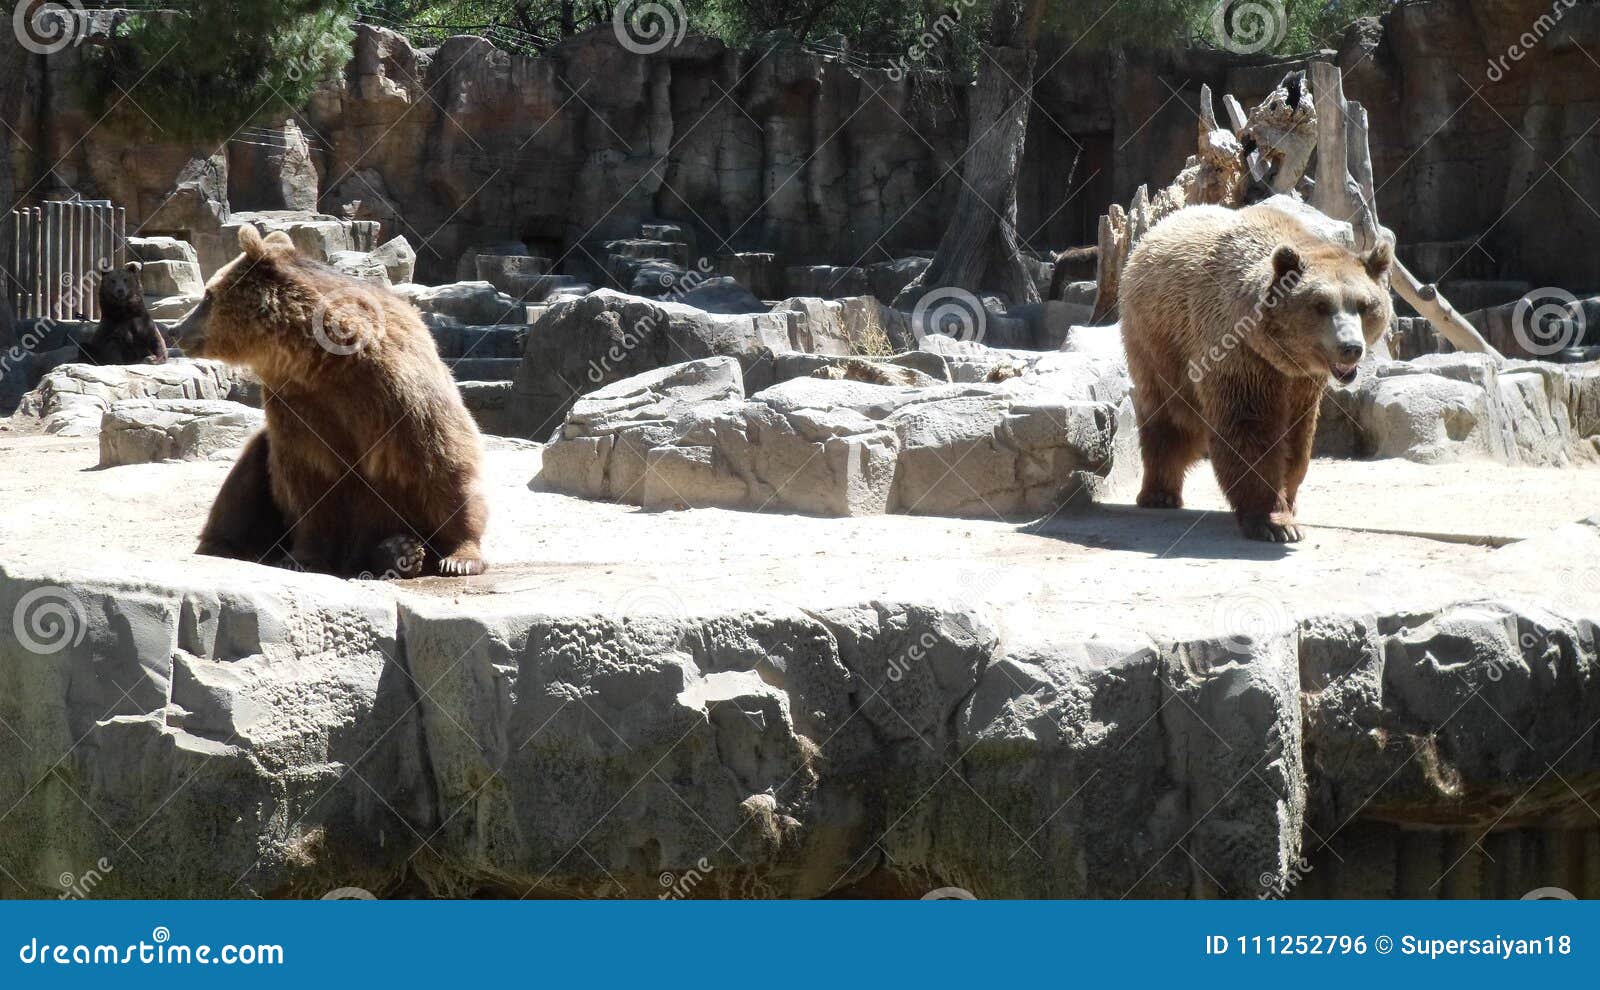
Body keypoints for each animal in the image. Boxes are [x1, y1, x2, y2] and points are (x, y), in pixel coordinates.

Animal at [172, 225, 489, 578]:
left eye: (208, 295)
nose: (175, 329)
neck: (321, 362)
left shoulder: (398, 395)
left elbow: (443, 459)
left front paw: (461, 557)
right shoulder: (297, 407)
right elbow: (310, 480)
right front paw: (302, 557)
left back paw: (399, 551)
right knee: (245, 478)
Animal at [1119, 202, 1393, 543]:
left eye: (1365, 305)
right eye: (1320, 304)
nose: (1351, 347)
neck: (1281, 355)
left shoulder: (1302, 383)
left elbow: (1297, 441)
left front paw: (1289, 503)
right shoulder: (1240, 358)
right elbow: (1251, 431)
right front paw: (1275, 523)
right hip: (1156, 341)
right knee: (1167, 415)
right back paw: (1160, 493)